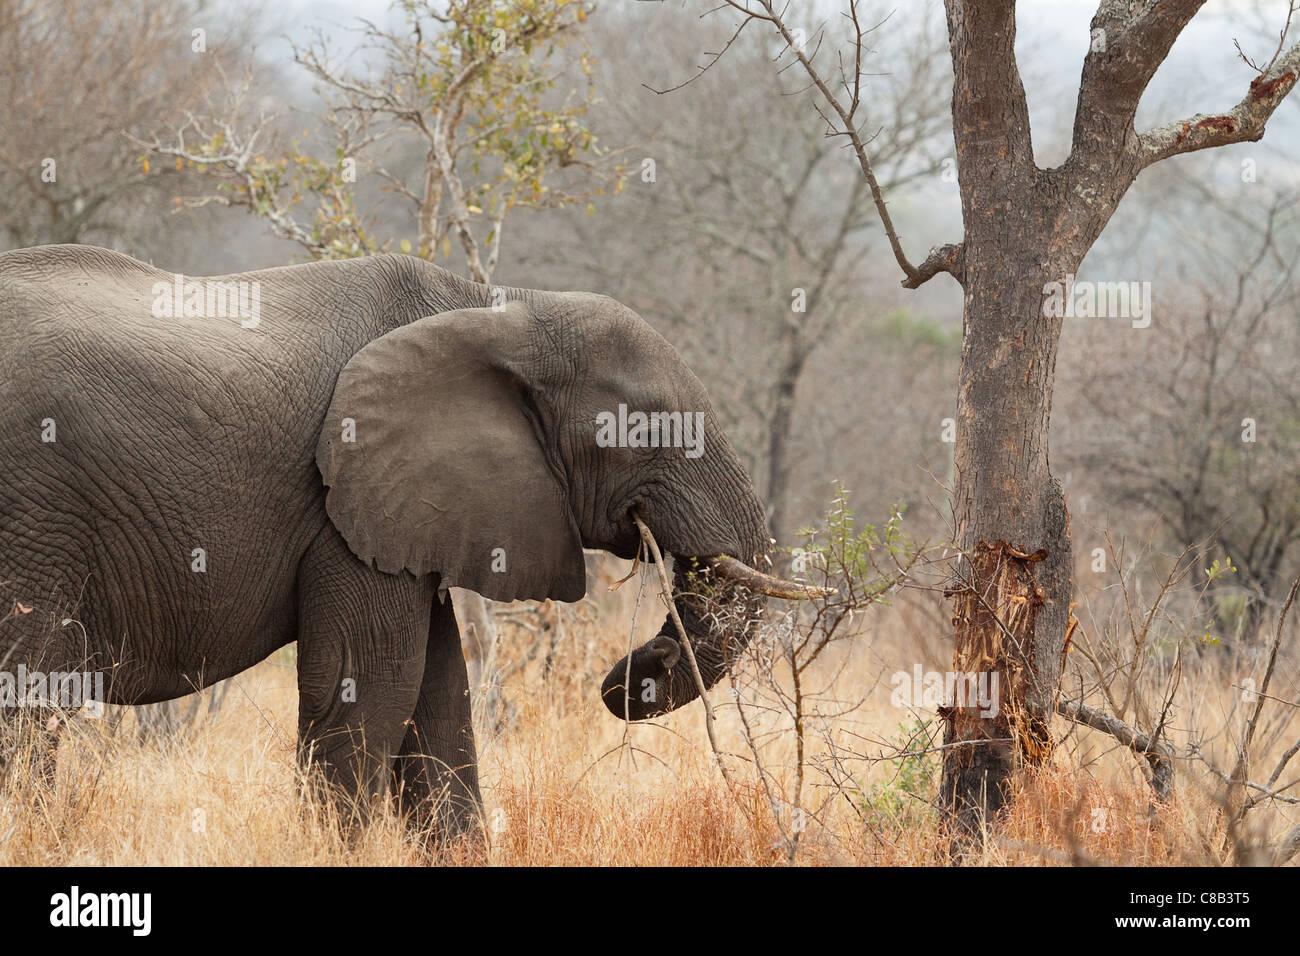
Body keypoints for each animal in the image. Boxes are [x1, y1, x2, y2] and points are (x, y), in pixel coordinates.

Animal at [0, 244, 809, 841]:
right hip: (32, 517)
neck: (500, 308)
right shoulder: (346, 503)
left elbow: (441, 703)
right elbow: (373, 692)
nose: (637, 667)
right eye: (643, 426)